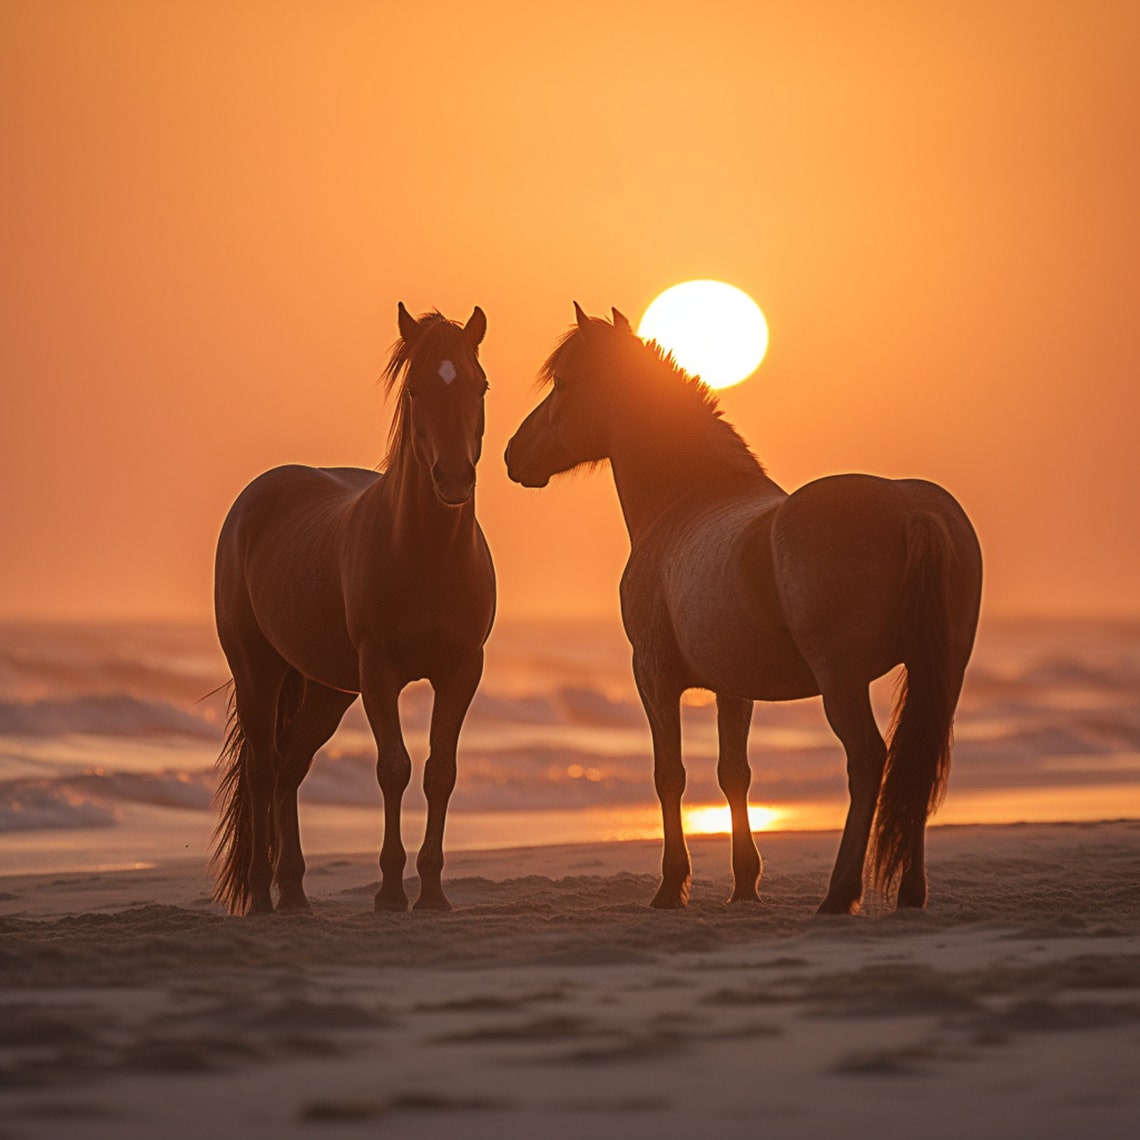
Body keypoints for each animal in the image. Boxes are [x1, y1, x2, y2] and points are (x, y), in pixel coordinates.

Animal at [212, 303, 495, 915]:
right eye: (414, 388)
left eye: (480, 384)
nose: (453, 478)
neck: (426, 554)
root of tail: (252, 500)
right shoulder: (379, 672)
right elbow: (394, 768)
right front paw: (390, 891)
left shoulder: (461, 670)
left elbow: (440, 772)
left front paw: (432, 893)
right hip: (258, 670)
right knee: (264, 771)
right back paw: (262, 895)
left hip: (327, 690)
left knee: (290, 768)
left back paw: (294, 891)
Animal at [505, 304, 982, 915]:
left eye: (564, 383)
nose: (513, 454)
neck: (686, 502)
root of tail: (910, 508)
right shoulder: (734, 687)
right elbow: (735, 774)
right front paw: (744, 884)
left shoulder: (653, 675)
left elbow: (670, 774)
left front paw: (671, 887)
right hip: (938, 672)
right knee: (918, 761)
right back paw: (911, 894)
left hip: (842, 679)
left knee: (868, 760)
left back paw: (839, 894)